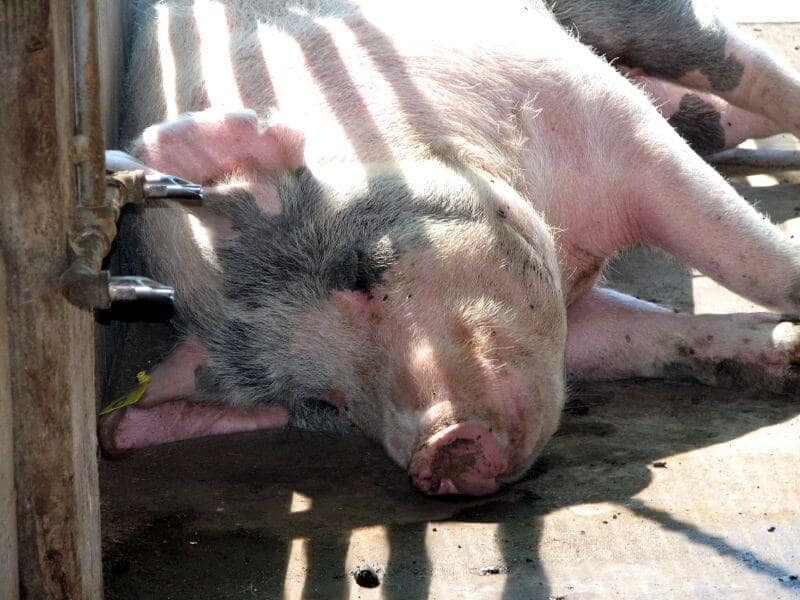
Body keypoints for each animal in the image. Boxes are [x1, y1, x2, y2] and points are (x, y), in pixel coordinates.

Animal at [101, 0, 800, 496]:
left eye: (363, 270)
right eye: (319, 403)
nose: (442, 449)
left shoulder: (609, 123)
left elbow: (741, 249)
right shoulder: (567, 317)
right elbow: (643, 334)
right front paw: (785, 356)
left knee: (736, 63)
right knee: (707, 116)